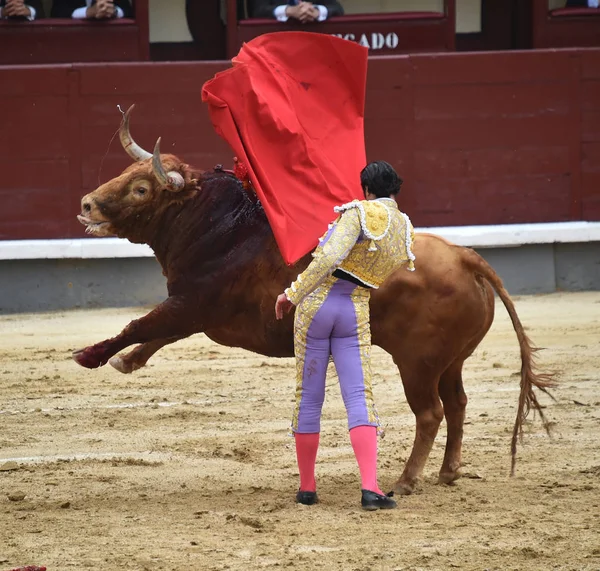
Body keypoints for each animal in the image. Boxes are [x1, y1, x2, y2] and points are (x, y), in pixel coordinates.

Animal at [76, 106, 556, 496]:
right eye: (126, 172)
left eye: (141, 188)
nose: (86, 204)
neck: (222, 228)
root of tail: (465, 256)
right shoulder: (193, 309)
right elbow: (157, 333)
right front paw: (126, 361)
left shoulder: (193, 302)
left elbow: (143, 324)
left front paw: (90, 355)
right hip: (450, 360)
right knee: (457, 404)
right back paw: (448, 472)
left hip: (417, 362)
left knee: (430, 412)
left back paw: (406, 480)